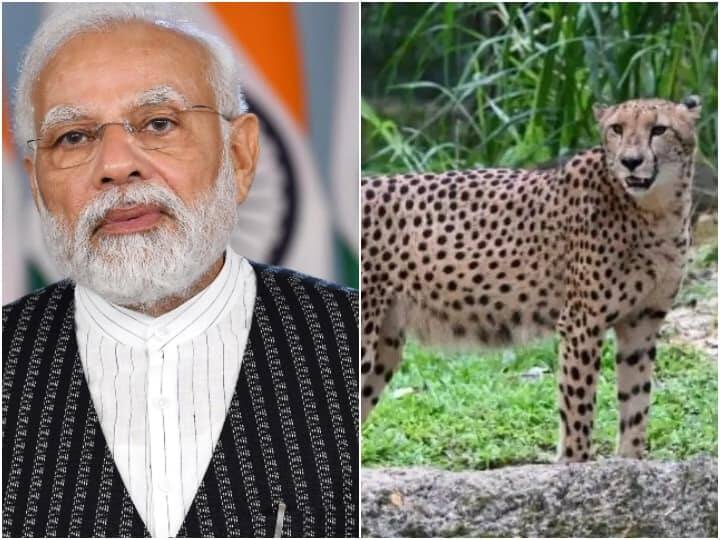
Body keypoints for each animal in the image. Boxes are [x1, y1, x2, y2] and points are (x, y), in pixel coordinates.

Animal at [360, 96, 701, 462]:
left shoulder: (642, 322)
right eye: (617, 129)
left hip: (384, 346)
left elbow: (635, 403)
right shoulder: (582, 323)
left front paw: (630, 463)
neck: (655, 211)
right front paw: (574, 464)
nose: (631, 161)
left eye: (659, 129)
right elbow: (579, 407)